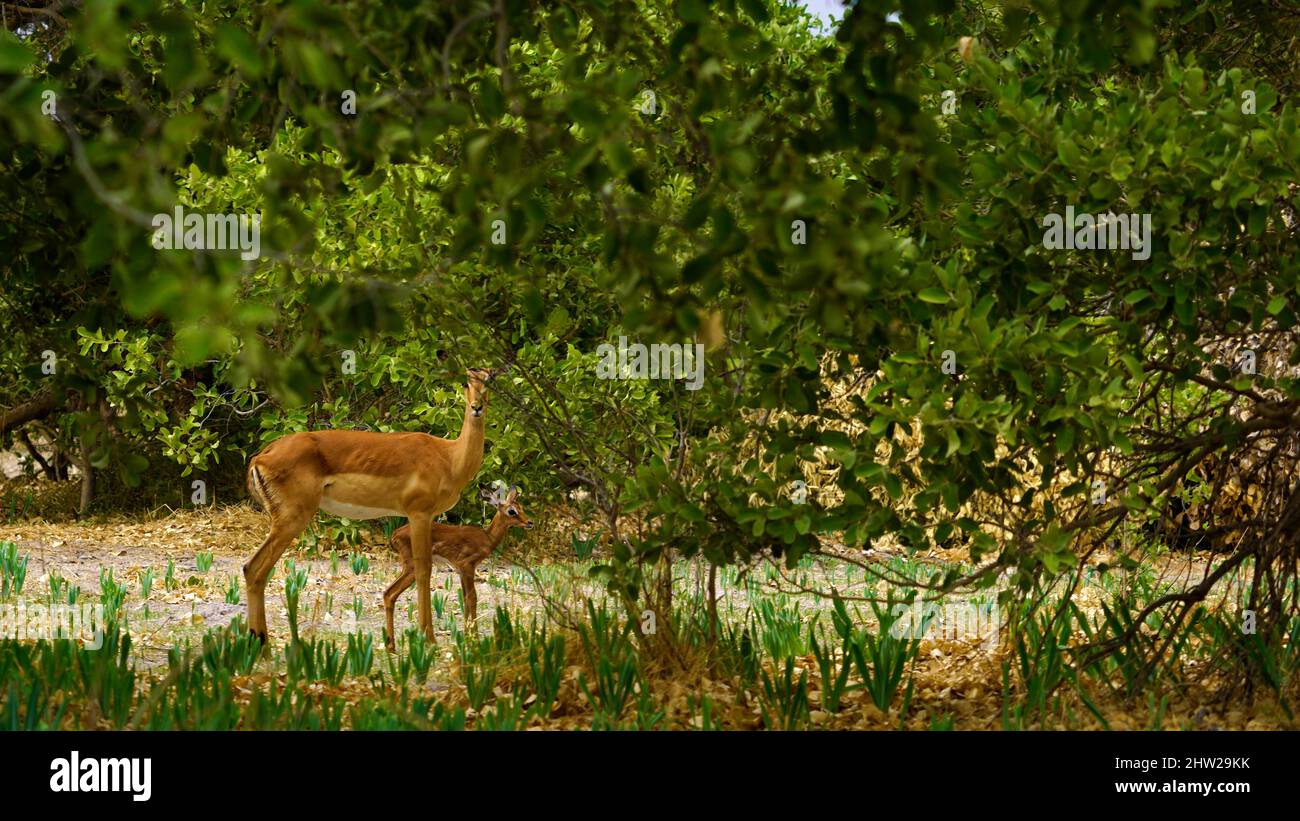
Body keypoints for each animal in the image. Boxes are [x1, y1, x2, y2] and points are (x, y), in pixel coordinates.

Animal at [243, 368, 497, 642]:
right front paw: (428, 639)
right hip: (292, 519)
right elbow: (424, 570)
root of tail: (262, 456)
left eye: (489, 379)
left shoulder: (425, 517)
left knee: (251, 570)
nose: (477, 407)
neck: (449, 458)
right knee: (255, 569)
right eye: (466, 382)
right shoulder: (419, 514)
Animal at [383, 484, 532, 649]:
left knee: (388, 593)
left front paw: (467, 636)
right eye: (511, 511)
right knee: (390, 593)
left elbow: (465, 598)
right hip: (412, 566)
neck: (486, 538)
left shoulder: (460, 571)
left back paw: (391, 646)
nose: (530, 522)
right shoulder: (467, 566)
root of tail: (394, 535)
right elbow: (472, 598)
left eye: (521, 507)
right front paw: (475, 638)